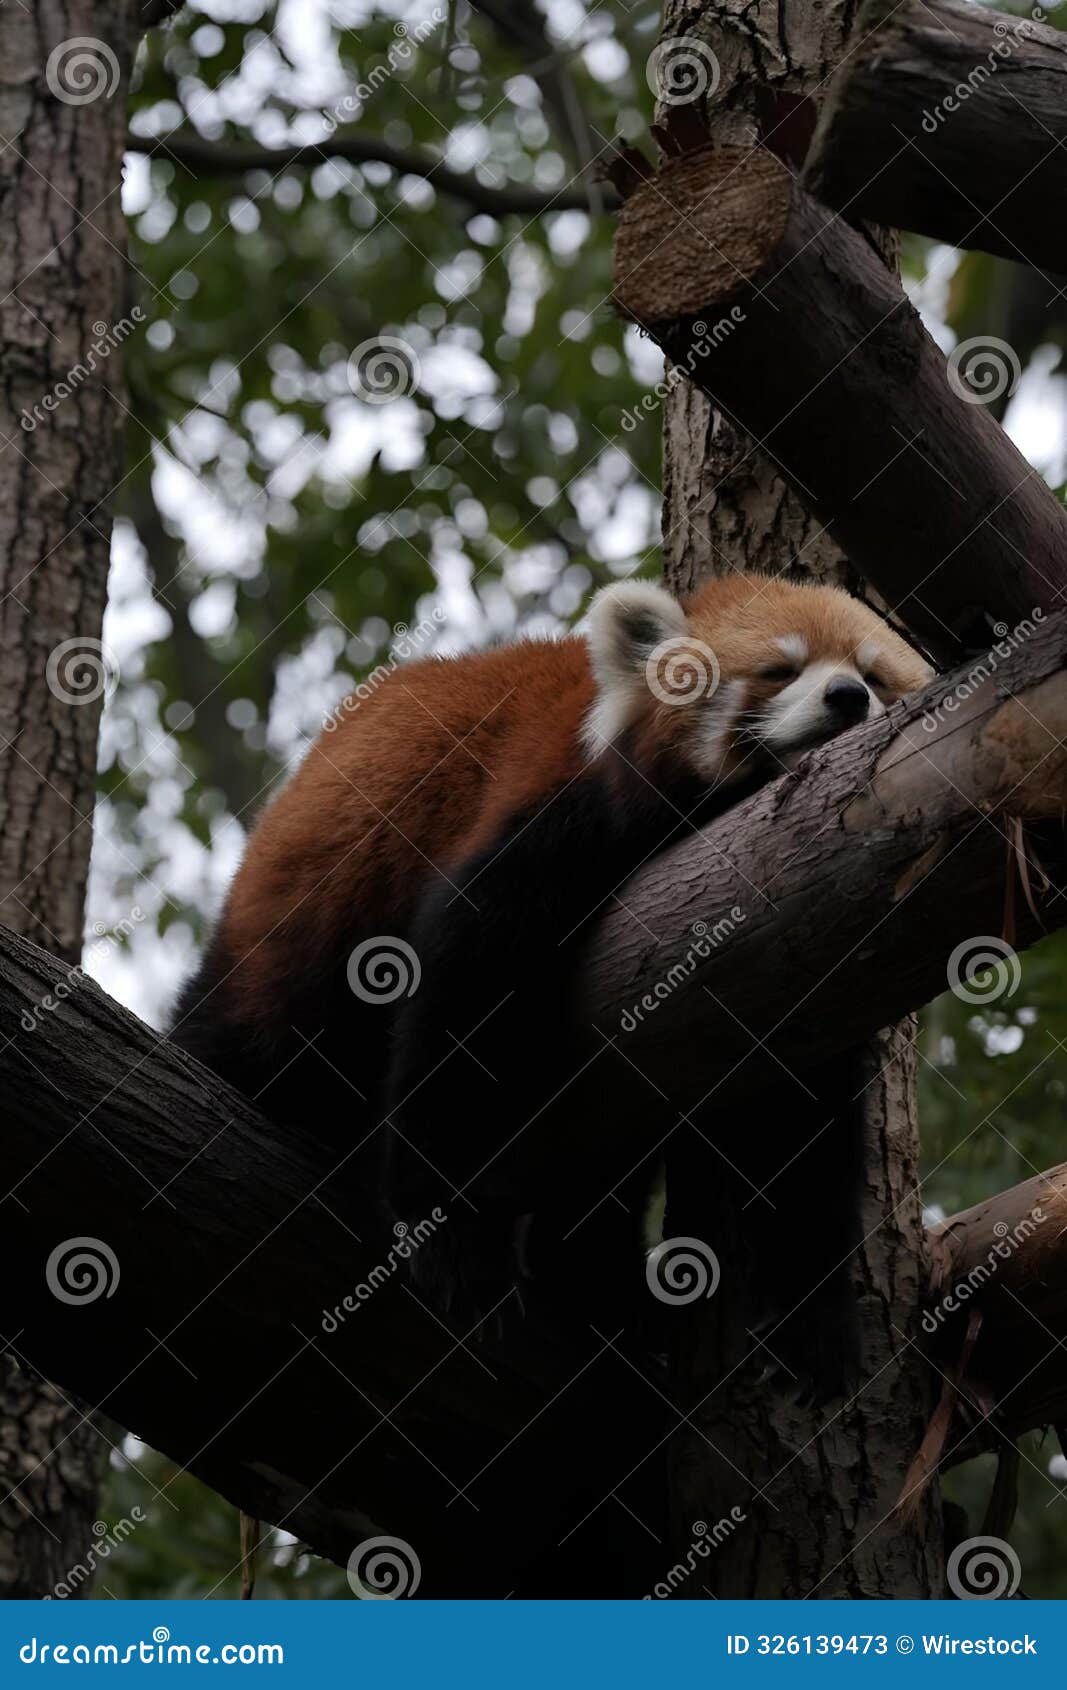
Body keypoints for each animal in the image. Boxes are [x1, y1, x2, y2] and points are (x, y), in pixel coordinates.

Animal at [171, 572, 931, 1370]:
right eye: (780, 670)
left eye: (875, 676)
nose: (847, 697)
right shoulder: (562, 819)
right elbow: (463, 997)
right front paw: (453, 1238)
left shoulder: (799, 941)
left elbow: (797, 1119)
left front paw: (809, 1318)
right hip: (308, 921)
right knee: (260, 1025)